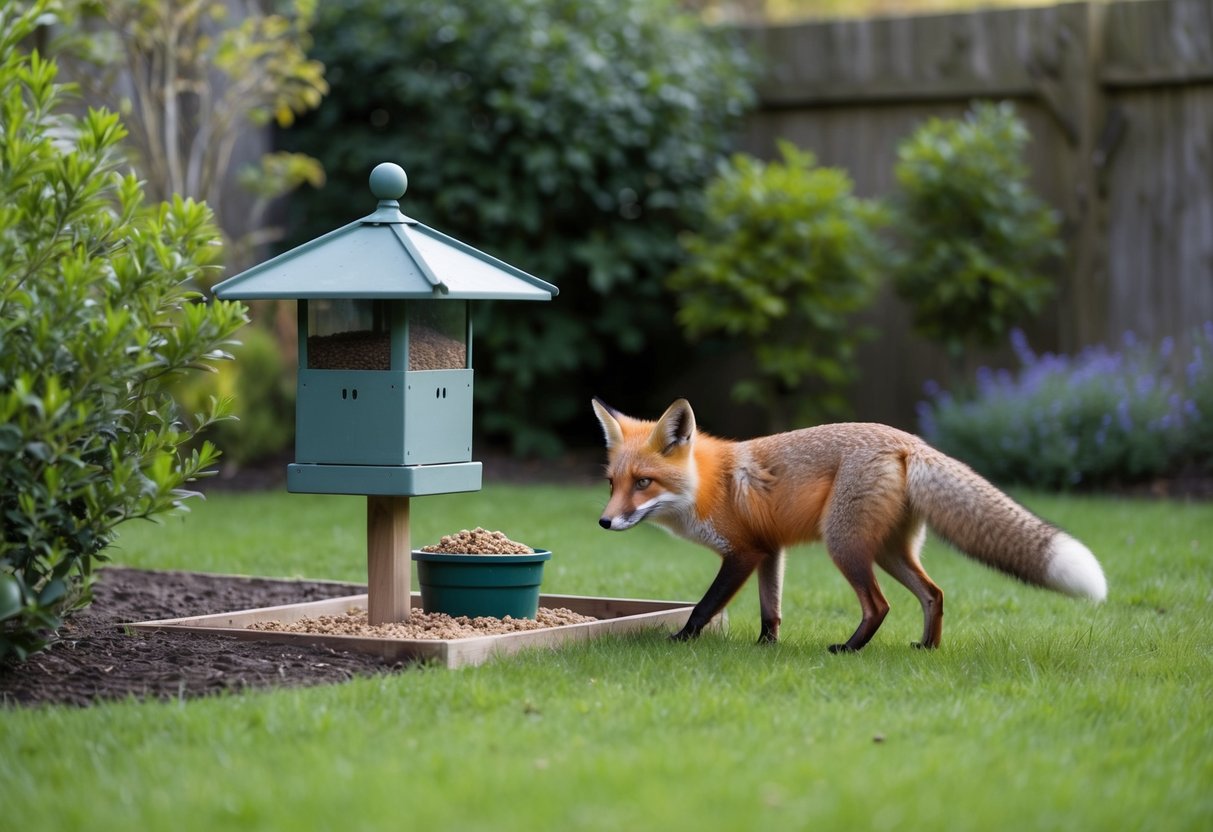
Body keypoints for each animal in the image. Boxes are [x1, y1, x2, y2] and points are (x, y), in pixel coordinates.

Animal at [592, 398, 1107, 652]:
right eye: (612, 483)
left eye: (644, 482)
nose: (604, 521)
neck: (706, 486)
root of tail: (910, 441)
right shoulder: (770, 551)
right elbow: (770, 610)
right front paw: (765, 648)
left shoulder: (742, 553)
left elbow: (704, 607)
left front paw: (679, 641)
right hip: (889, 551)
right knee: (934, 594)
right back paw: (926, 649)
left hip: (844, 545)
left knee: (879, 606)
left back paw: (849, 649)